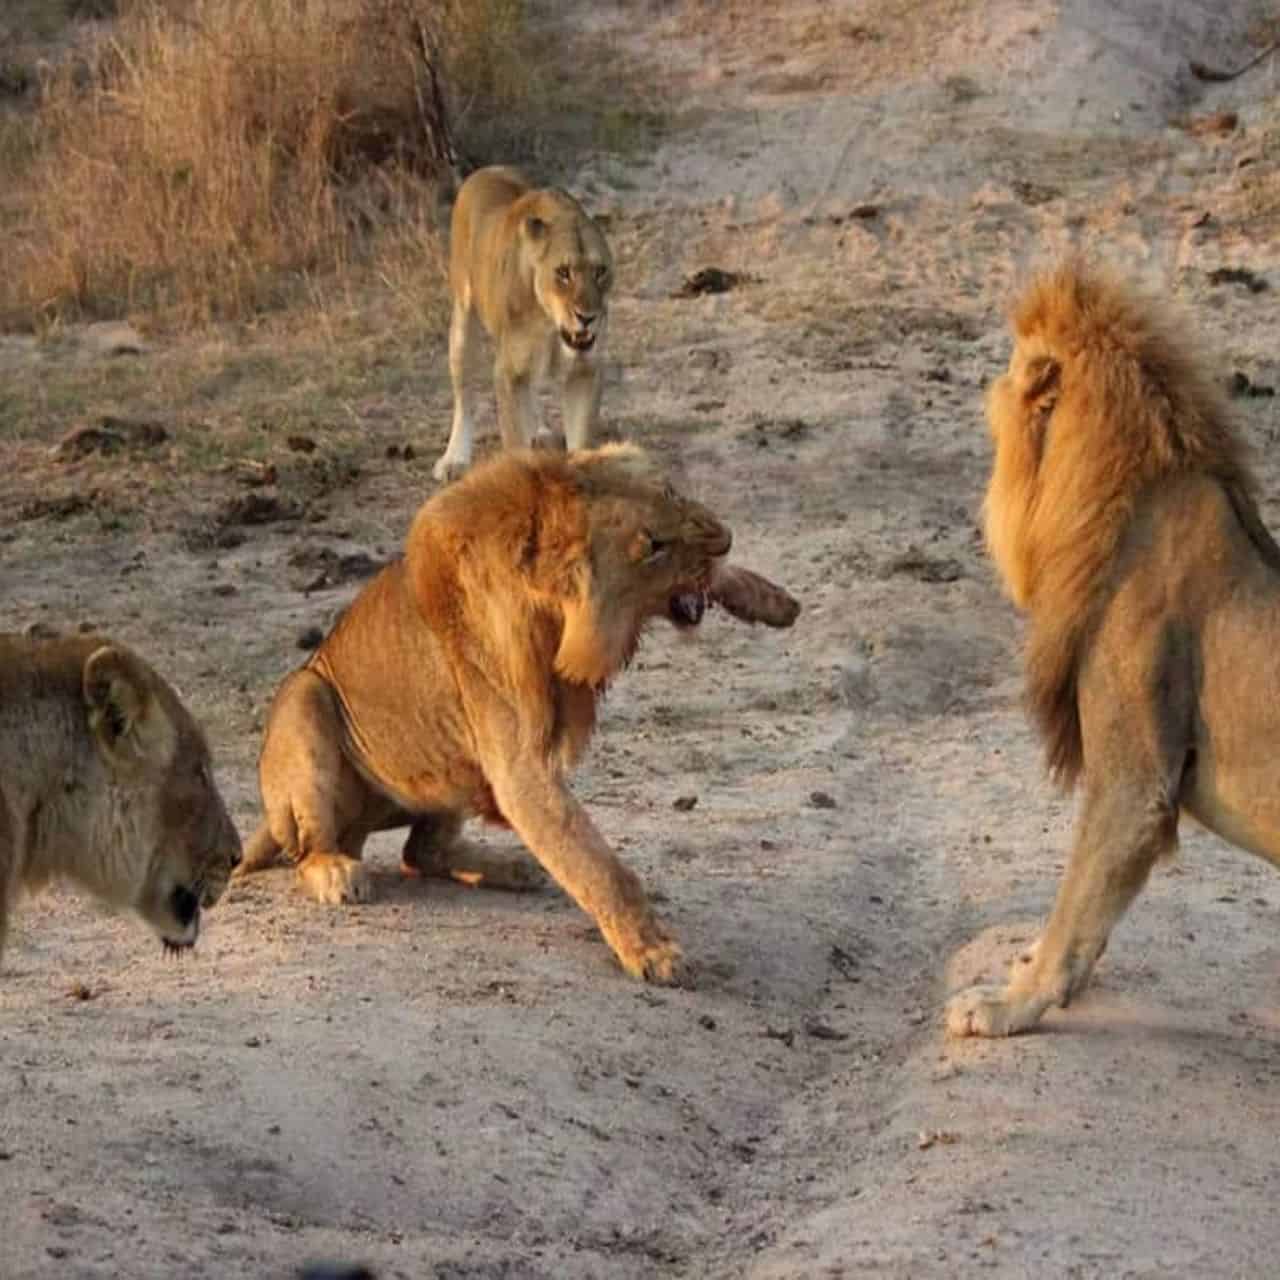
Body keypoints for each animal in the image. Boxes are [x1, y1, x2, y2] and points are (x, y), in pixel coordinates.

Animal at [235, 444, 800, 983]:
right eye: (651, 548)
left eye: (671, 491)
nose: (726, 538)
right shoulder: (518, 768)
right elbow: (598, 866)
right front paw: (652, 951)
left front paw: (773, 600)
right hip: (306, 697)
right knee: (313, 851)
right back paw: (338, 872)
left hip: (451, 761)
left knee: (420, 852)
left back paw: (508, 868)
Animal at [432, 165, 615, 484]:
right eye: (563, 272)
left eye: (600, 271)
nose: (587, 317)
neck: (551, 325)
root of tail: (485, 170)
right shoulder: (508, 371)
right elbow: (515, 439)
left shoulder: (585, 370)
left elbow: (580, 439)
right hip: (463, 317)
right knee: (464, 396)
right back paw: (454, 459)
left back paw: (540, 433)